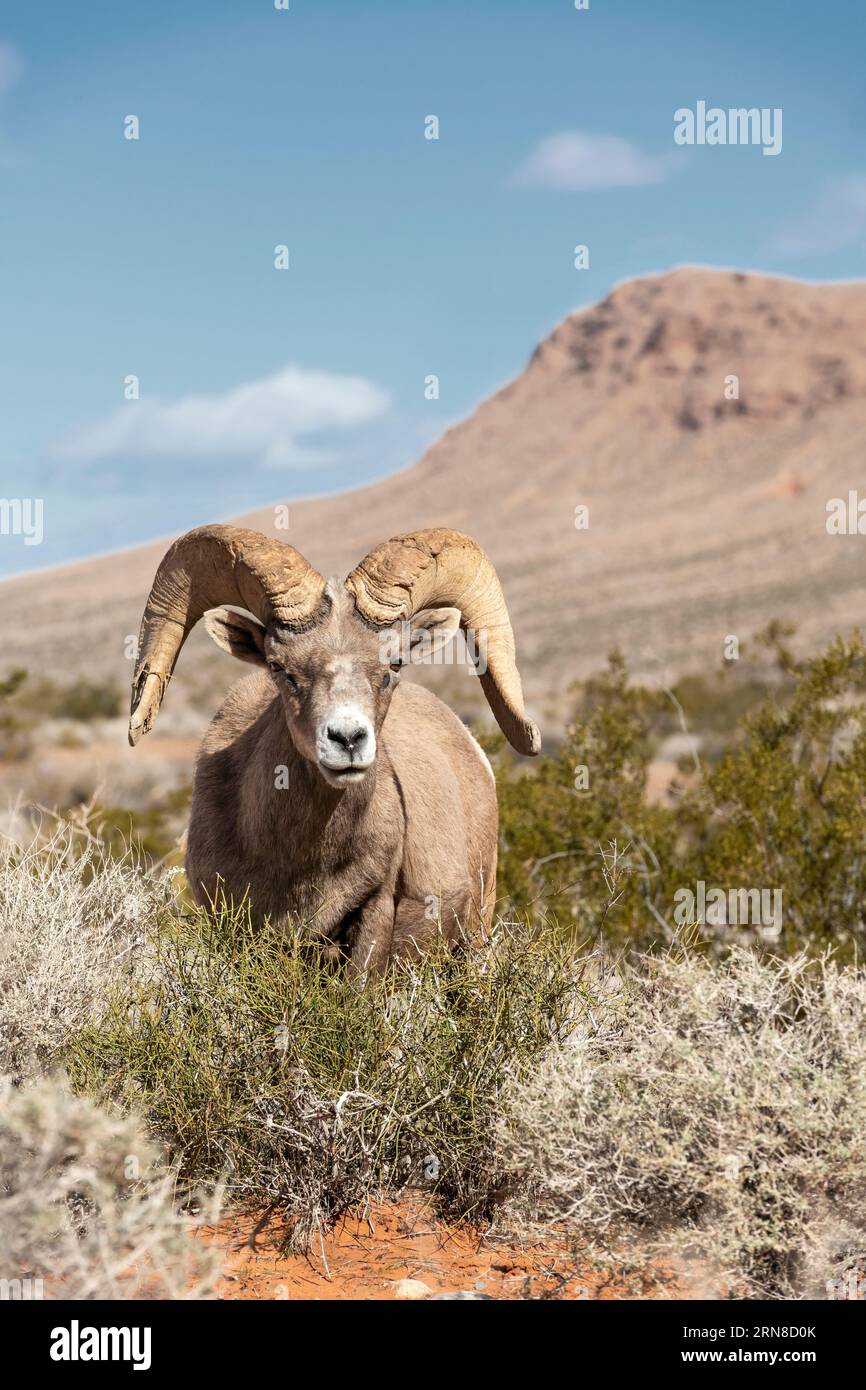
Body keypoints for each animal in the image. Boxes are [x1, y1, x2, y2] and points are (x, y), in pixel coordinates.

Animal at [129, 525, 540, 972]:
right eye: (279, 668)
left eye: (392, 668)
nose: (347, 739)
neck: (298, 864)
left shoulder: (372, 914)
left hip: (475, 933)